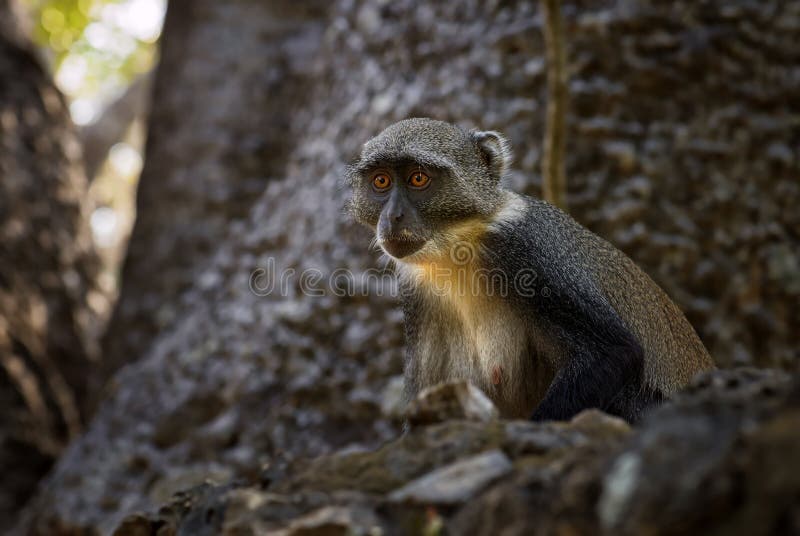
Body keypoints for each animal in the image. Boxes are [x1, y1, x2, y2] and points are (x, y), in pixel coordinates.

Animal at [346, 118, 714, 423]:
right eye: (381, 181)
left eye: (418, 178)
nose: (392, 216)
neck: (457, 246)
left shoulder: (524, 249)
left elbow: (613, 352)